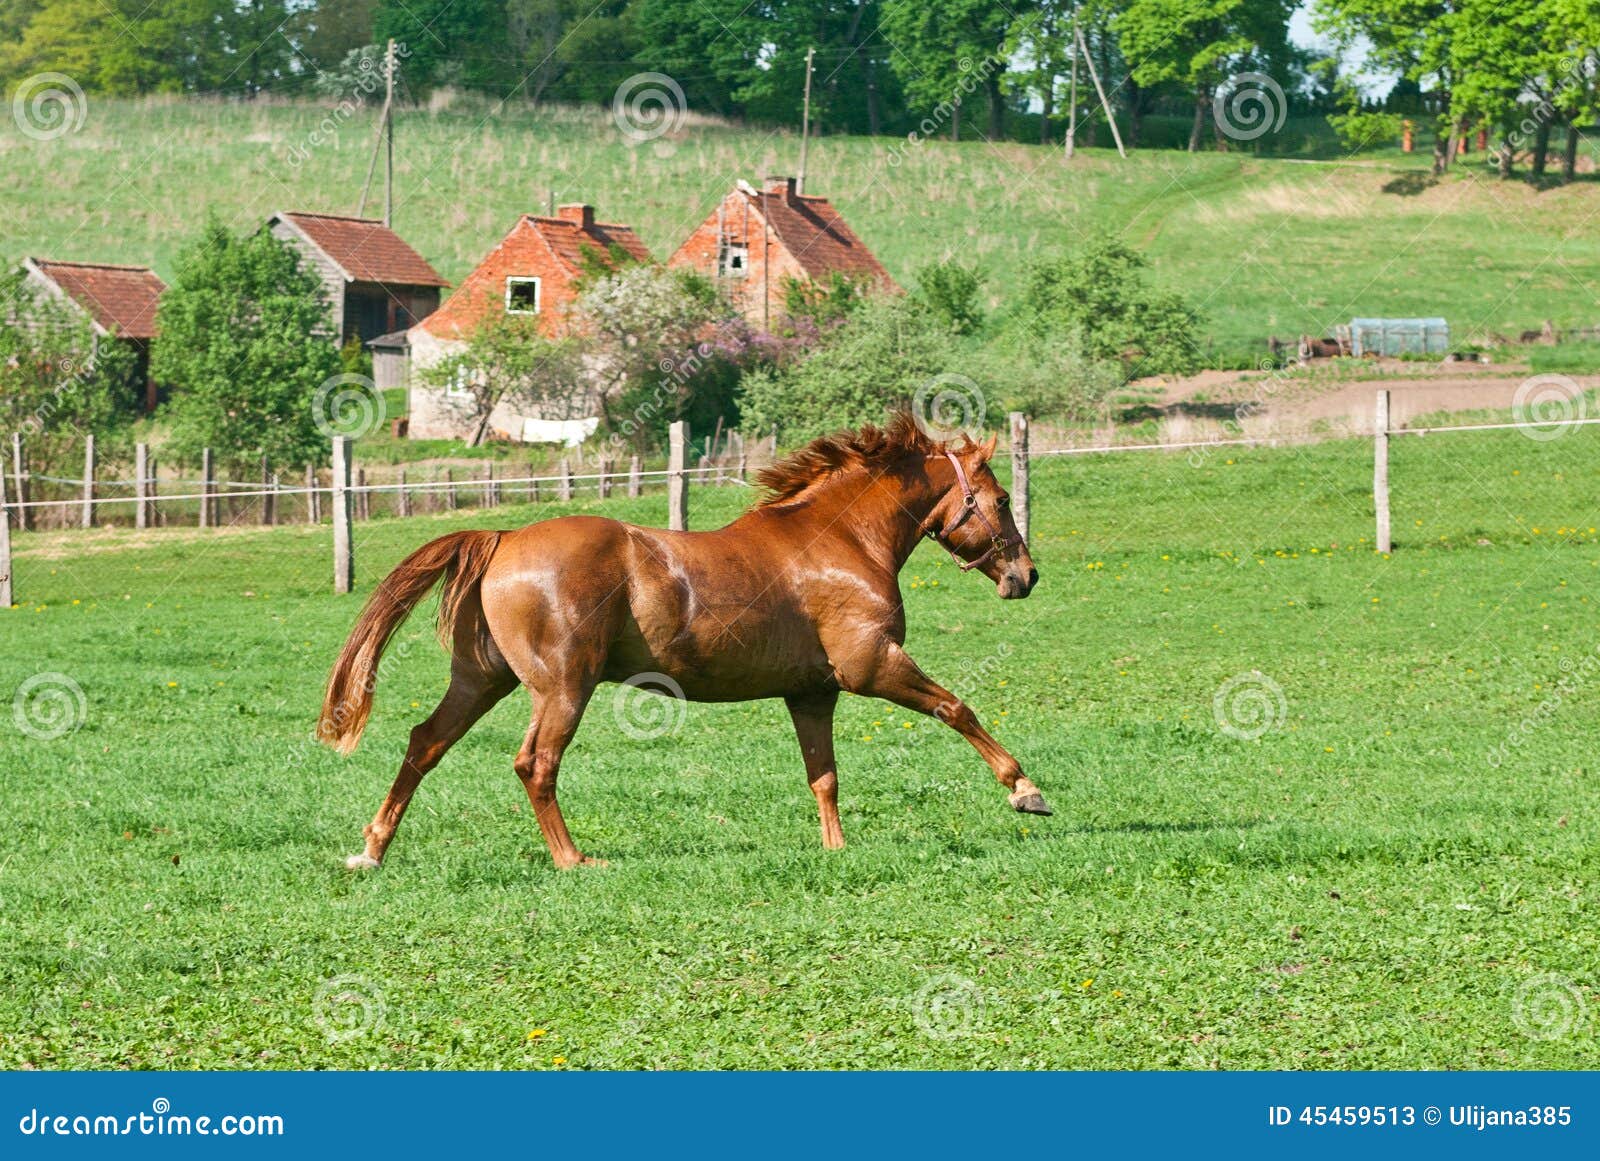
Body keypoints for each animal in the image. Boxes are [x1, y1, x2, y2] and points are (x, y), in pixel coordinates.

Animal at [318, 412, 1046, 871]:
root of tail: (502, 539)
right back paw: (573, 858)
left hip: (482, 680)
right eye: (1001, 499)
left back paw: (372, 849)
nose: (1027, 576)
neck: (839, 542)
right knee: (535, 764)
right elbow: (956, 708)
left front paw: (836, 849)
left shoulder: (812, 694)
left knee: (424, 743)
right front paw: (1024, 790)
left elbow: (824, 775)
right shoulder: (870, 667)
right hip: (563, 687)